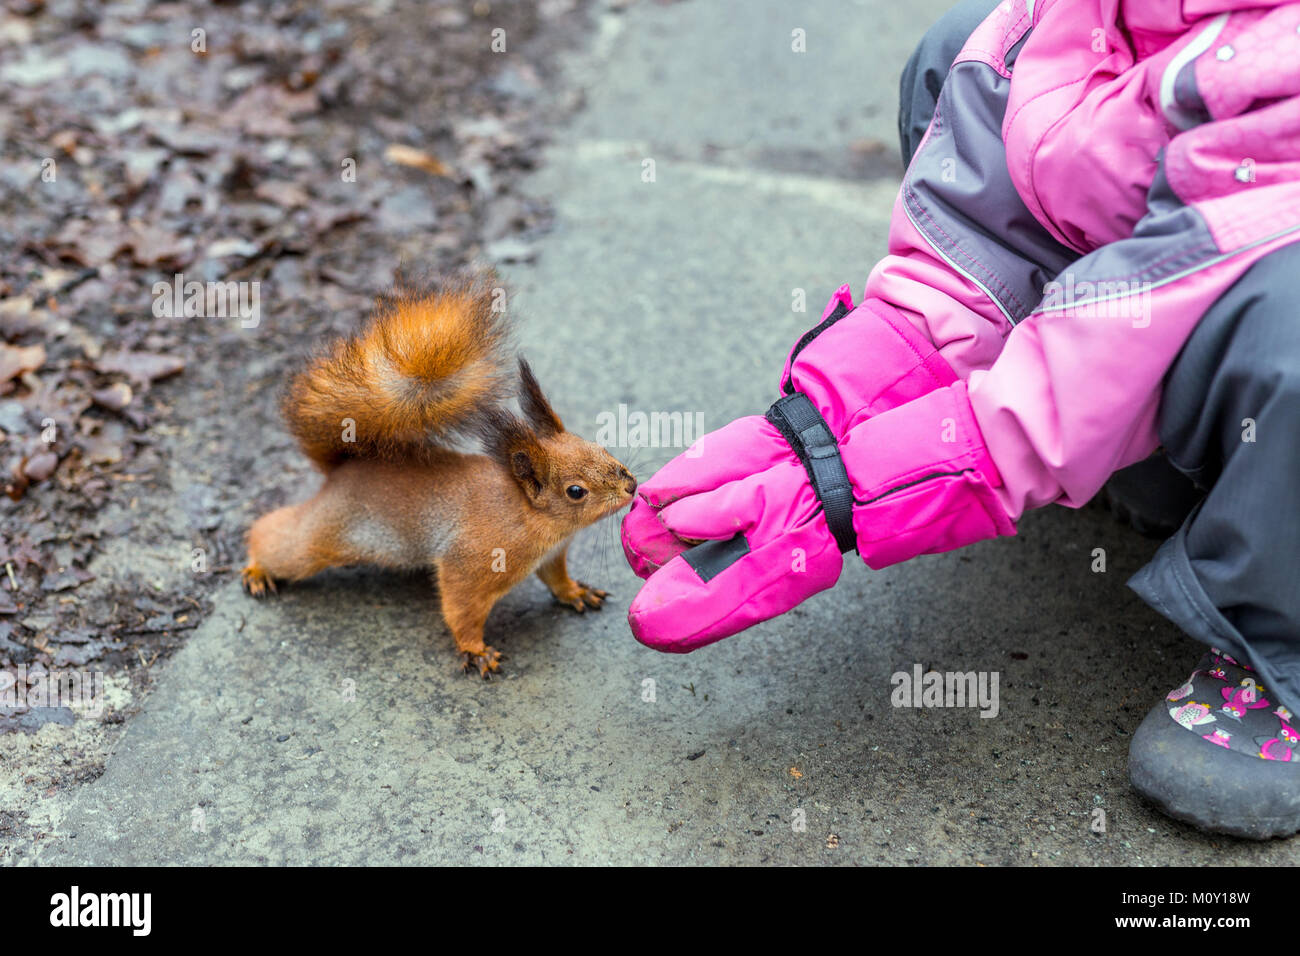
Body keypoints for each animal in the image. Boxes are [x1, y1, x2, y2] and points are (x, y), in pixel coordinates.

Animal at [240, 273, 637, 677]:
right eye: (576, 491)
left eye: (599, 448)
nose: (631, 485)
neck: (530, 516)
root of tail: (346, 467)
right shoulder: (474, 562)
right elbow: (462, 607)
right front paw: (476, 650)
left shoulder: (552, 555)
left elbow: (556, 579)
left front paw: (575, 592)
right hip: (325, 533)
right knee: (278, 538)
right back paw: (256, 570)